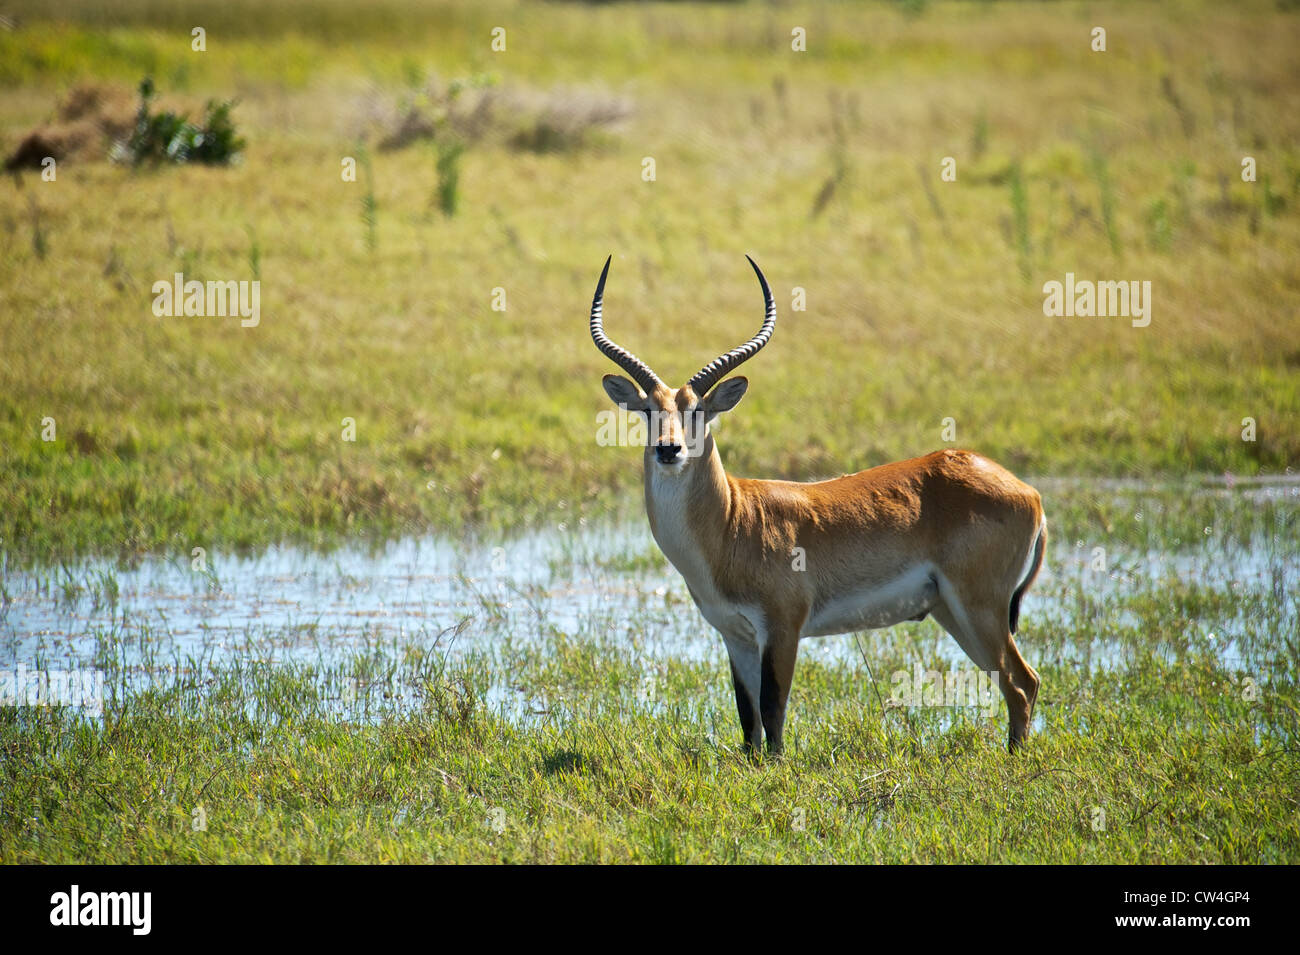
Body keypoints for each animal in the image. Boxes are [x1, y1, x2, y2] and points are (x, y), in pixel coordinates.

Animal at [590, 255, 1048, 755]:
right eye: (648, 409)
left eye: (697, 410)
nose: (668, 450)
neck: (732, 522)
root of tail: (1029, 492)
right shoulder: (735, 635)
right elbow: (747, 717)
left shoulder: (783, 627)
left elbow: (773, 709)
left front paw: (778, 767)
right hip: (951, 609)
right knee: (1017, 681)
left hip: (980, 606)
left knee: (1022, 682)